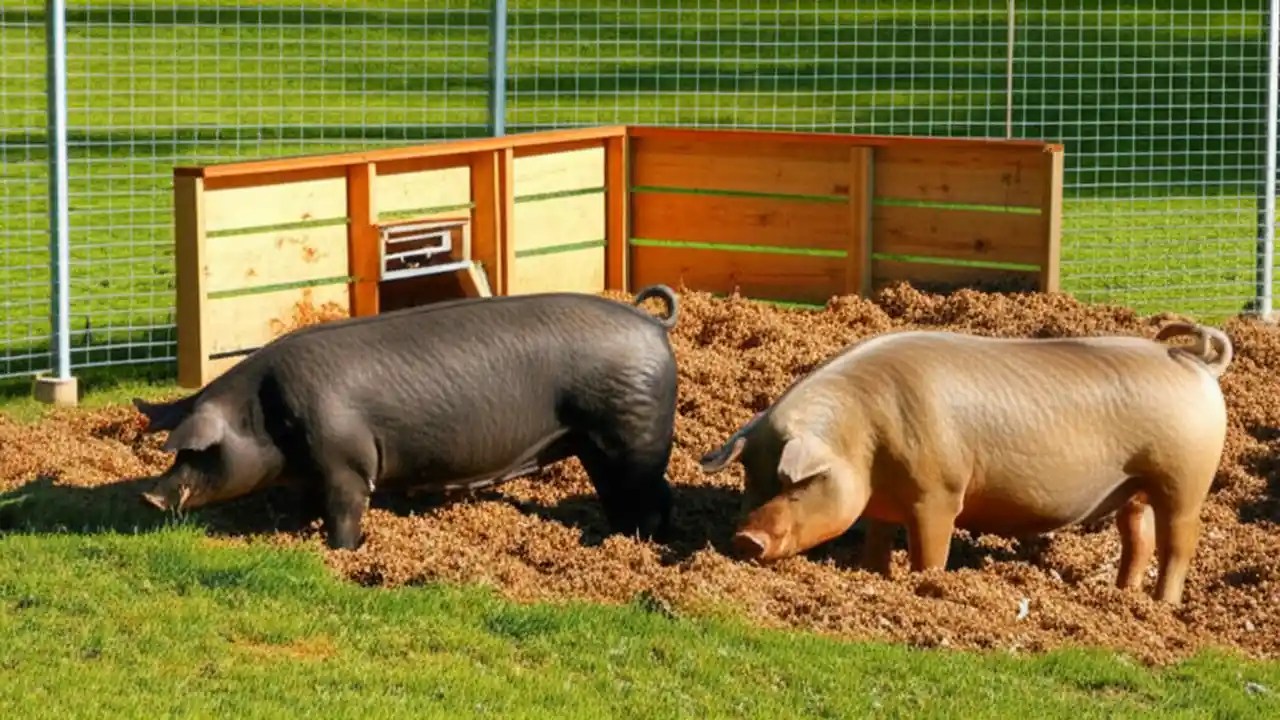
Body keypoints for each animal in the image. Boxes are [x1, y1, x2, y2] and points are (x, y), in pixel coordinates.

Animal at [132, 285, 682, 550]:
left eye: (200, 451)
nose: (148, 497)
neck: (266, 417)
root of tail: (652, 323)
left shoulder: (348, 463)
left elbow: (345, 510)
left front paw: (341, 552)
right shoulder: (313, 469)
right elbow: (308, 504)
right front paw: (297, 530)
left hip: (634, 435)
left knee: (655, 495)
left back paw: (641, 544)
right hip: (603, 447)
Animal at [698, 321, 1233, 605]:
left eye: (797, 483)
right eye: (751, 481)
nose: (744, 539)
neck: (861, 438)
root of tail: (1197, 363)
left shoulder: (938, 494)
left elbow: (929, 548)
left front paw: (925, 583)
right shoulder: (881, 501)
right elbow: (876, 536)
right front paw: (873, 574)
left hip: (1185, 479)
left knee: (1178, 542)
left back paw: (1162, 604)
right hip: (1136, 488)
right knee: (1137, 537)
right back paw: (1122, 595)